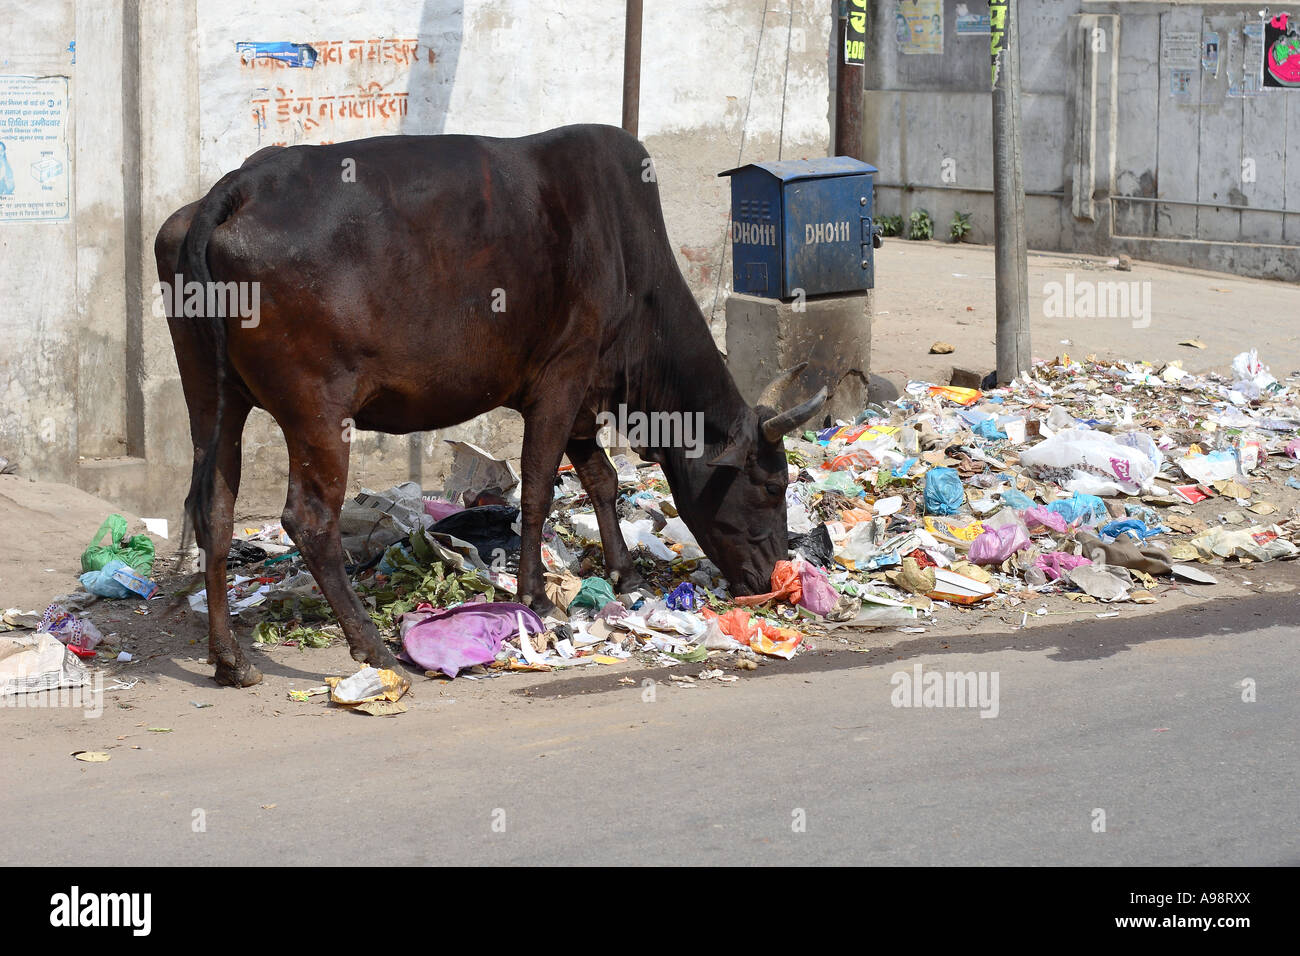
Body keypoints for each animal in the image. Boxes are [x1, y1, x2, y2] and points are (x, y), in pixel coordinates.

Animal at [157, 124, 826, 687]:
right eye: (770, 486)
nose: (776, 575)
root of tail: (240, 186)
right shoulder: (563, 375)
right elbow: (539, 487)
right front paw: (534, 595)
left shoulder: (582, 395)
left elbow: (602, 480)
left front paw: (624, 571)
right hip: (317, 409)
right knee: (309, 520)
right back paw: (371, 646)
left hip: (213, 398)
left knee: (214, 511)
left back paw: (230, 658)